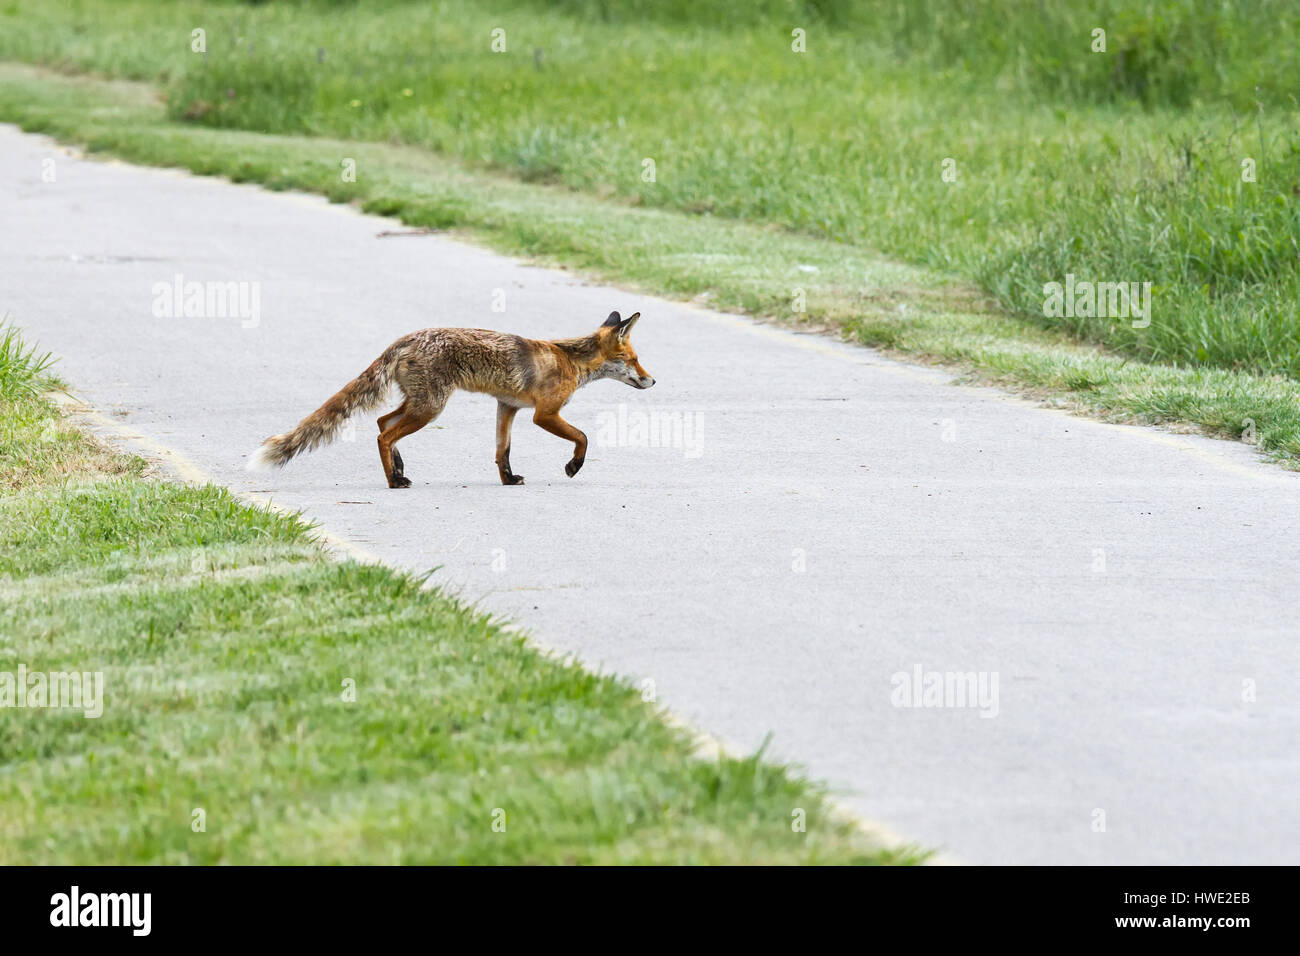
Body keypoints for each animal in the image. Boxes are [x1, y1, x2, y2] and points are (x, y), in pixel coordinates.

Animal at [246, 310, 654, 488]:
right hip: (430, 408)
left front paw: (508, 480)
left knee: (381, 422)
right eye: (634, 359)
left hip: (418, 403)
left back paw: (400, 470)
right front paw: (573, 467)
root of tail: (405, 338)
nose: (652, 380)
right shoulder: (544, 414)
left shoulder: (508, 407)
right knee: (384, 434)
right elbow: (583, 437)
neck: (570, 359)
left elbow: (502, 451)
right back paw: (393, 480)